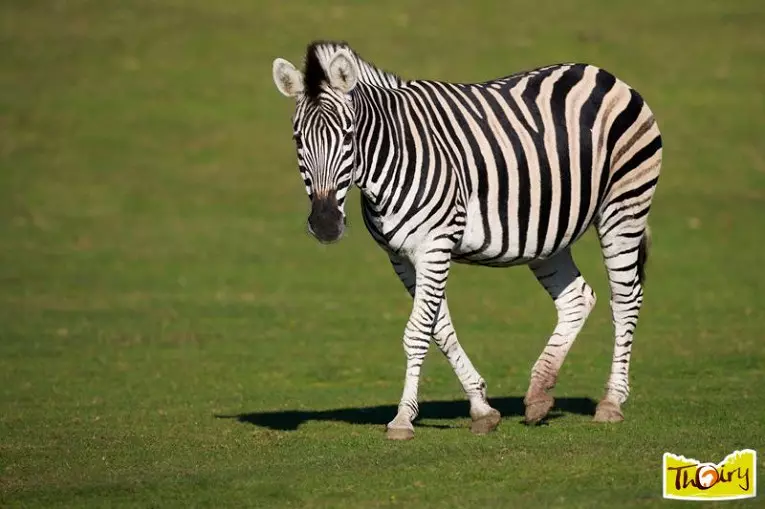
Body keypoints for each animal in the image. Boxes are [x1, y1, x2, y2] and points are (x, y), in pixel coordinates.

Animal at [272, 39, 660, 438]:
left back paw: (611, 402)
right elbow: (439, 329)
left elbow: (418, 332)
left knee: (625, 299)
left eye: (349, 136)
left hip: (623, 205)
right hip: (548, 234)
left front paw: (402, 419)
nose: (326, 224)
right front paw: (481, 408)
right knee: (577, 299)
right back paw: (538, 395)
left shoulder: (435, 244)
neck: (392, 155)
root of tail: (600, 72)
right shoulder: (401, 257)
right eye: (298, 139)